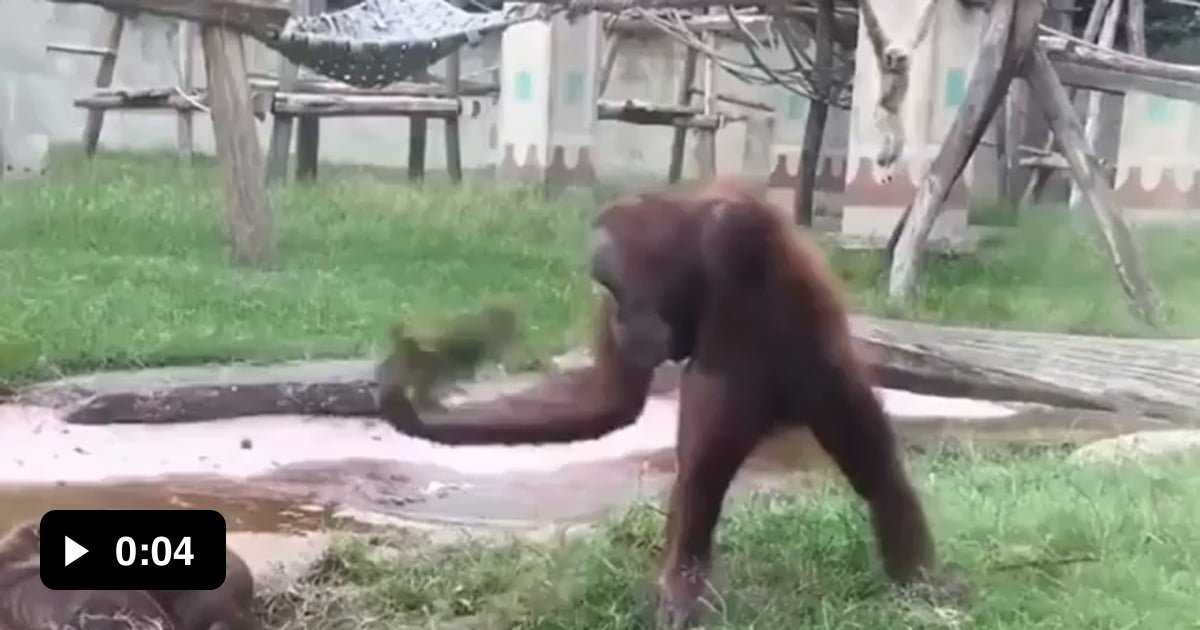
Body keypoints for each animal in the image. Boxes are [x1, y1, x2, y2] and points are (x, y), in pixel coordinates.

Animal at [860, 0, 940, 183]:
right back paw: (882, 159)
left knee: (899, 139)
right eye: (888, 57)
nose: (889, 61)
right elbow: (872, 25)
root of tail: (890, 113)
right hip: (881, 113)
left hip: (895, 118)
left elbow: (922, 27)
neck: (897, 70)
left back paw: (889, 160)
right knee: (889, 138)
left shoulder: (909, 46)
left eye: (895, 57)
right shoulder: (881, 47)